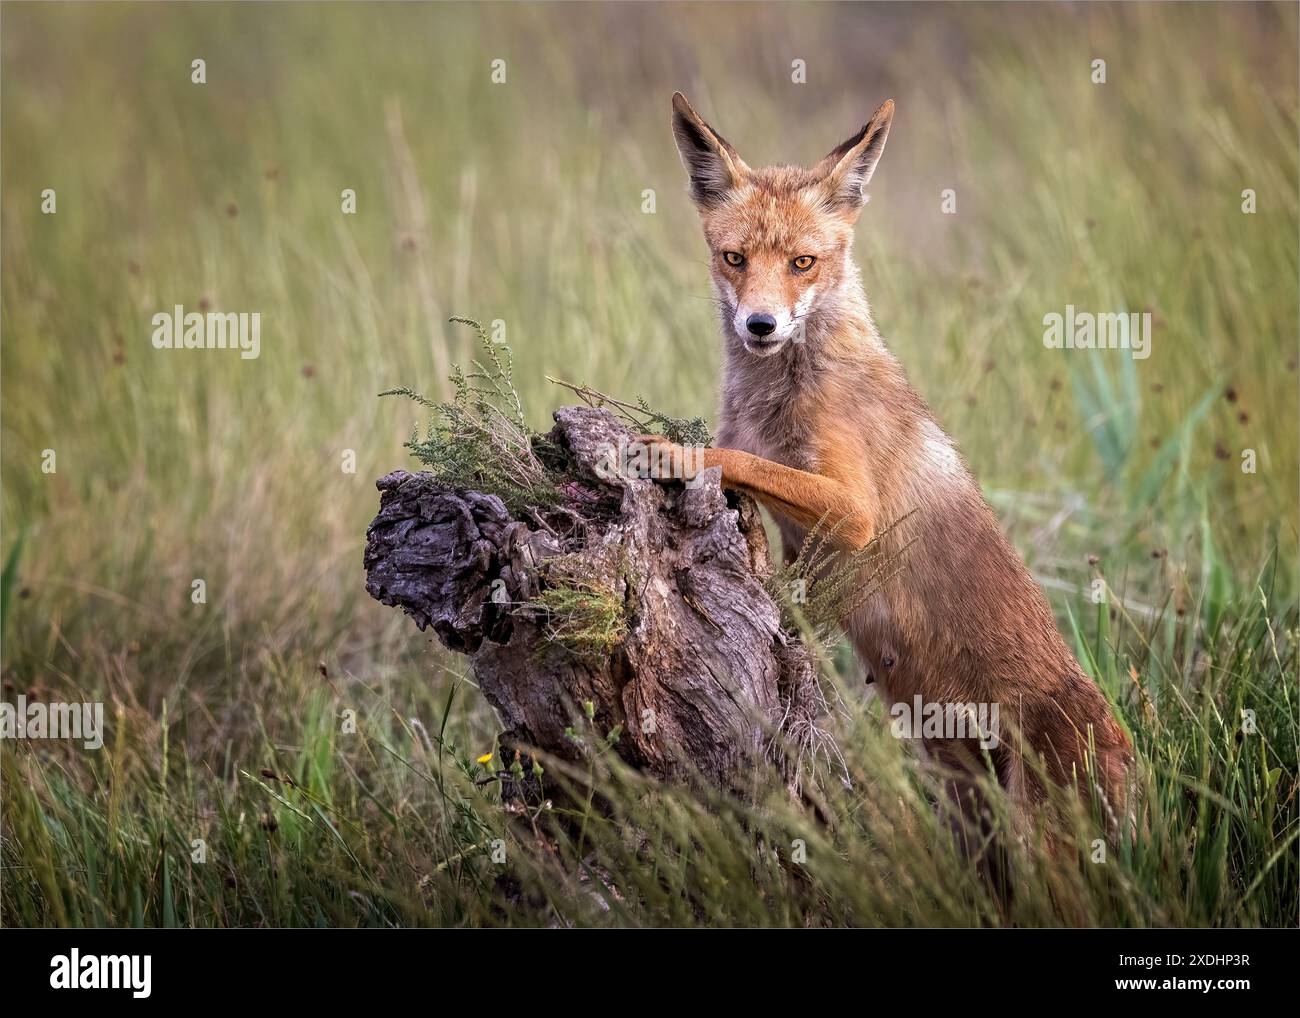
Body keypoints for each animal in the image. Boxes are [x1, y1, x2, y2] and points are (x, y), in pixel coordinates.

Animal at [645, 92, 1133, 837]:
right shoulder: (803, 539)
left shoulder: (854, 512)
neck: (775, 396)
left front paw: (671, 451)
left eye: (803, 263)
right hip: (970, 814)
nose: (761, 325)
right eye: (734, 258)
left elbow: (739, 459)